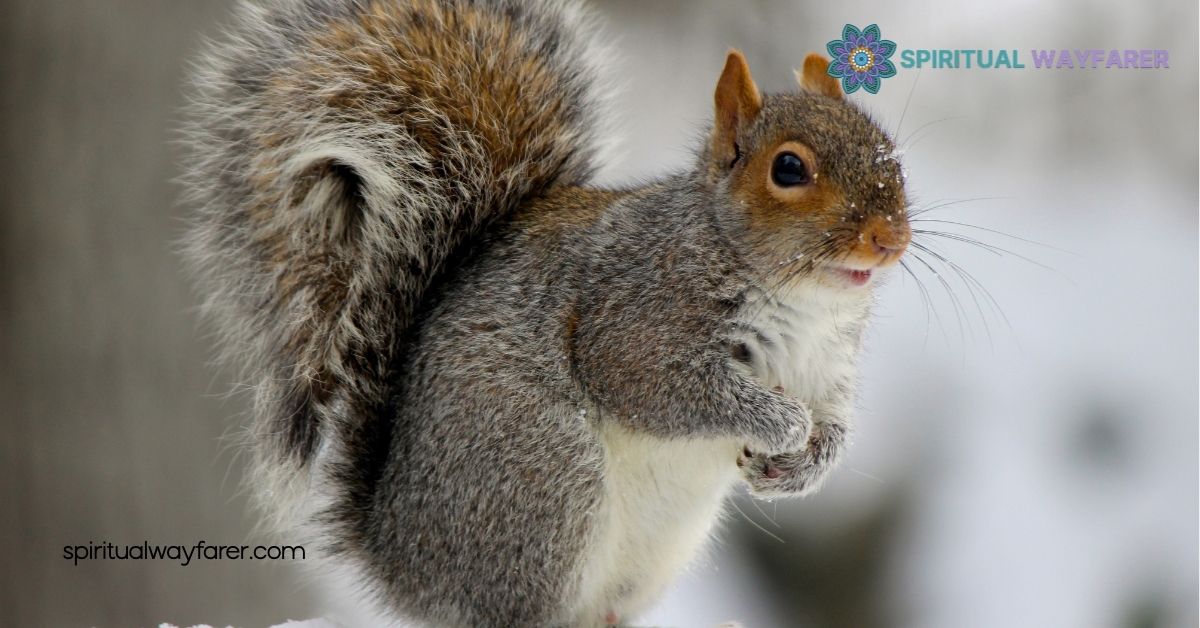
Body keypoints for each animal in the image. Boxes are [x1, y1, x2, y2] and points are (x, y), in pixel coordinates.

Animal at [181, 0, 911, 625]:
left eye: (888, 149)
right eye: (788, 169)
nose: (890, 238)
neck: (801, 300)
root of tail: (400, 561)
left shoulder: (827, 363)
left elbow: (835, 423)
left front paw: (801, 467)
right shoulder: (636, 320)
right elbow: (667, 390)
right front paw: (782, 425)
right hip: (543, 479)